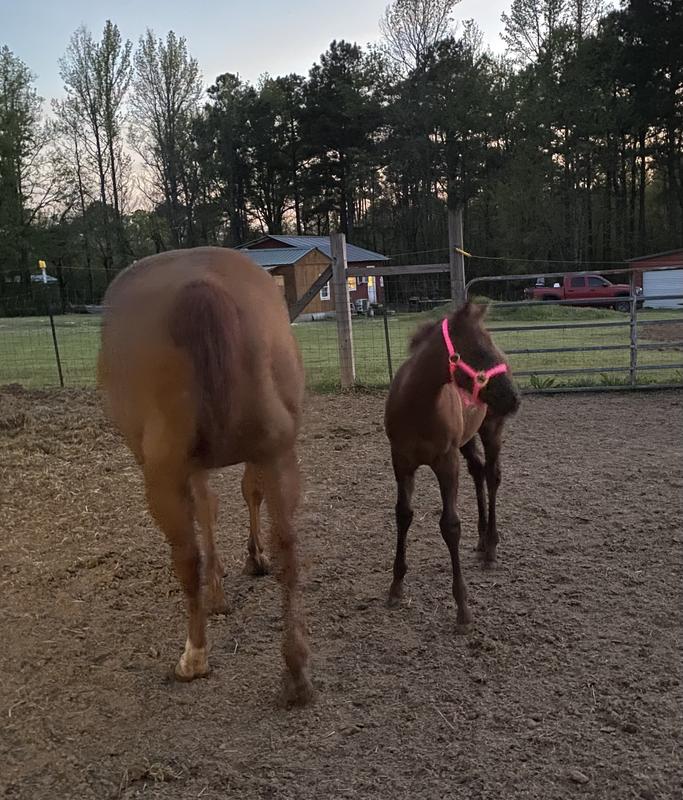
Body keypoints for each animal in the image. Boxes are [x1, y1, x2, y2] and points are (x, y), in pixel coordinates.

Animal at [97, 246, 313, 706]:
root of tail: (202, 289)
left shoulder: (180, 470)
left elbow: (206, 513)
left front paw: (219, 587)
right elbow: (238, 498)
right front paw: (246, 565)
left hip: (163, 479)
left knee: (186, 558)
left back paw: (194, 656)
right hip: (278, 453)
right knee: (288, 547)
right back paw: (297, 671)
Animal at [384, 301, 521, 631]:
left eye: (490, 345)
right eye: (479, 350)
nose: (514, 398)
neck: (417, 406)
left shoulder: (446, 462)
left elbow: (450, 525)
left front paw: (463, 608)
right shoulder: (401, 462)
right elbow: (403, 515)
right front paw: (396, 586)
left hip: (491, 428)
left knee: (493, 475)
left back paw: (491, 547)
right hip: (466, 439)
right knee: (478, 470)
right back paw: (482, 539)